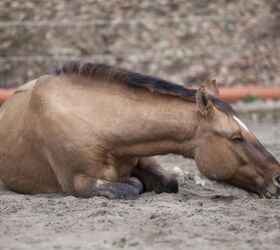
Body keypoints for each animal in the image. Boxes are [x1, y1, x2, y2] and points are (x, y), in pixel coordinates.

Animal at [0, 61, 278, 199]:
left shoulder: (143, 156)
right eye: (236, 137)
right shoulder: (76, 183)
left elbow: (168, 182)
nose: (277, 176)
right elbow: (129, 187)